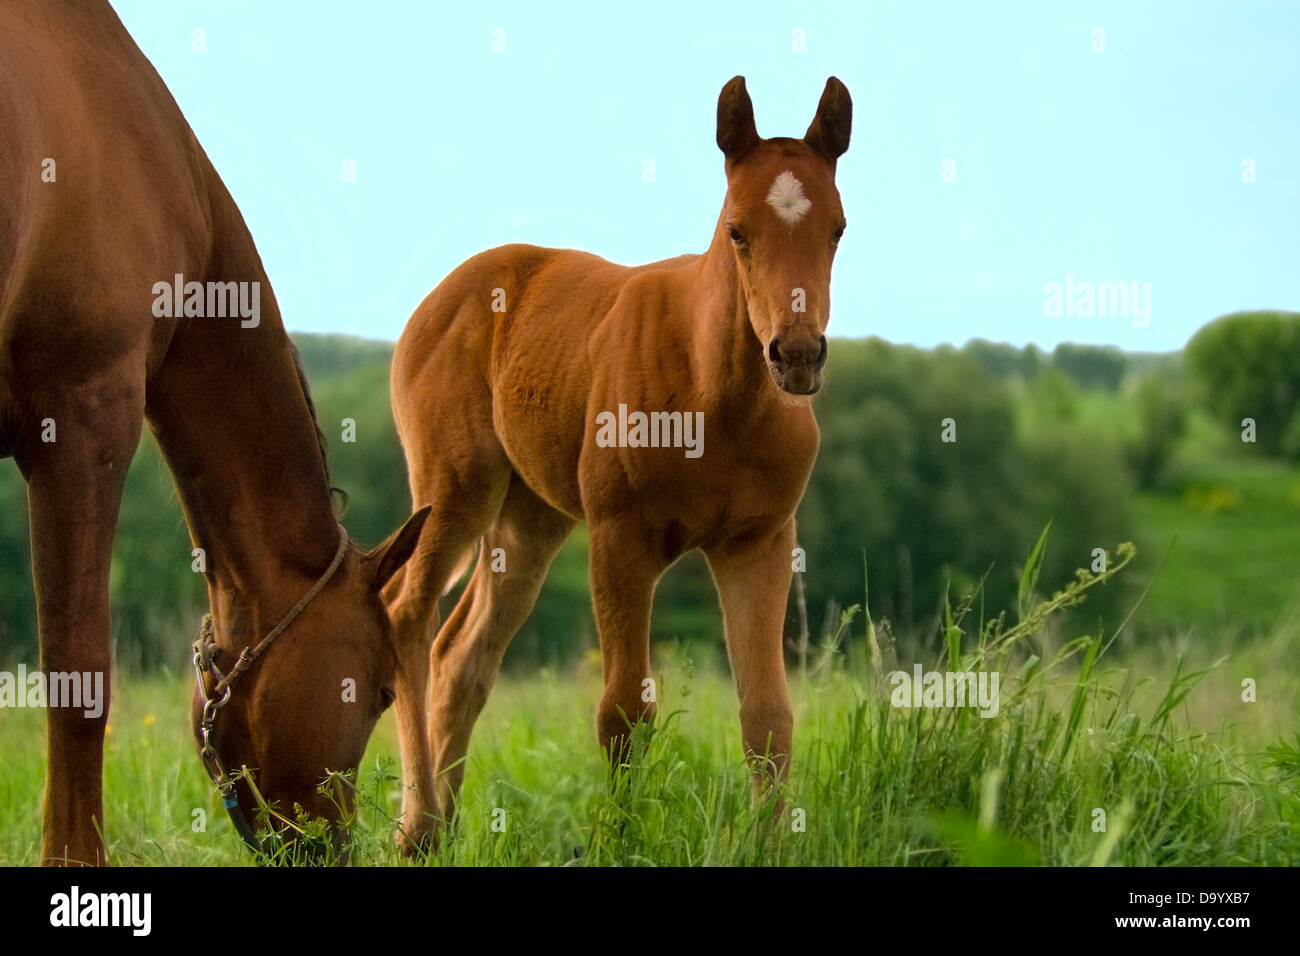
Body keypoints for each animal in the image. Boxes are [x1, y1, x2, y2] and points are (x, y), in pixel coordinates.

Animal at [385, 74, 851, 849]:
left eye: (839, 228)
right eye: (737, 231)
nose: (797, 354)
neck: (713, 396)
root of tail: (438, 299)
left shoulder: (758, 542)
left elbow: (767, 714)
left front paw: (769, 843)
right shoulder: (618, 537)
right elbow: (623, 711)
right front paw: (618, 840)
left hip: (529, 520)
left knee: (461, 658)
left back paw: (443, 832)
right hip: (455, 490)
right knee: (408, 617)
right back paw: (417, 827)